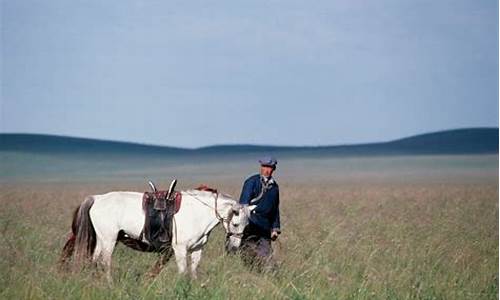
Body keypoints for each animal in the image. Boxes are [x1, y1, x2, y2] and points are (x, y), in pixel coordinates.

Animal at [60, 184, 252, 280]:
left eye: (246, 225)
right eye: (235, 224)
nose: (234, 248)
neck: (197, 212)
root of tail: (96, 198)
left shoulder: (197, 249)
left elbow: (194, 271)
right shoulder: (179, 249)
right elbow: (183, 272)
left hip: (102, 239)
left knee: (94, 260)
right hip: (109, 239)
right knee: (104, 262)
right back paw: (109, 284)